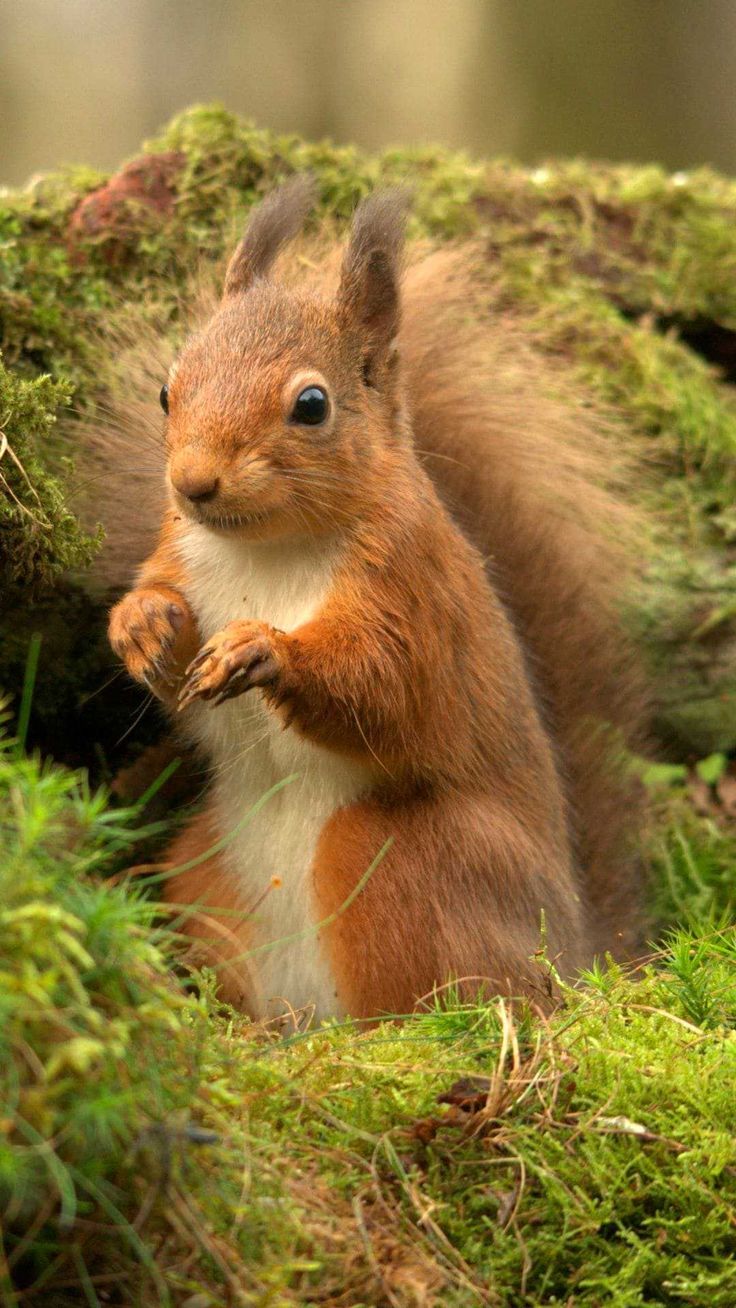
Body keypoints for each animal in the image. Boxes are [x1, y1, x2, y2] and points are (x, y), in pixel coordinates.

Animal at [103, 176, 646, 1023]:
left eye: (312, 405)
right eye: (167, 389)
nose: (192, 483)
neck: (268, 551)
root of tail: (572, 952)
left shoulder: (410, 589)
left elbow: (386, 687)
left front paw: (265, 649)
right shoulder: (179, 553)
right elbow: (162, 614)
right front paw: (142, 626)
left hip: (401, 860)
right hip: (202, 872)